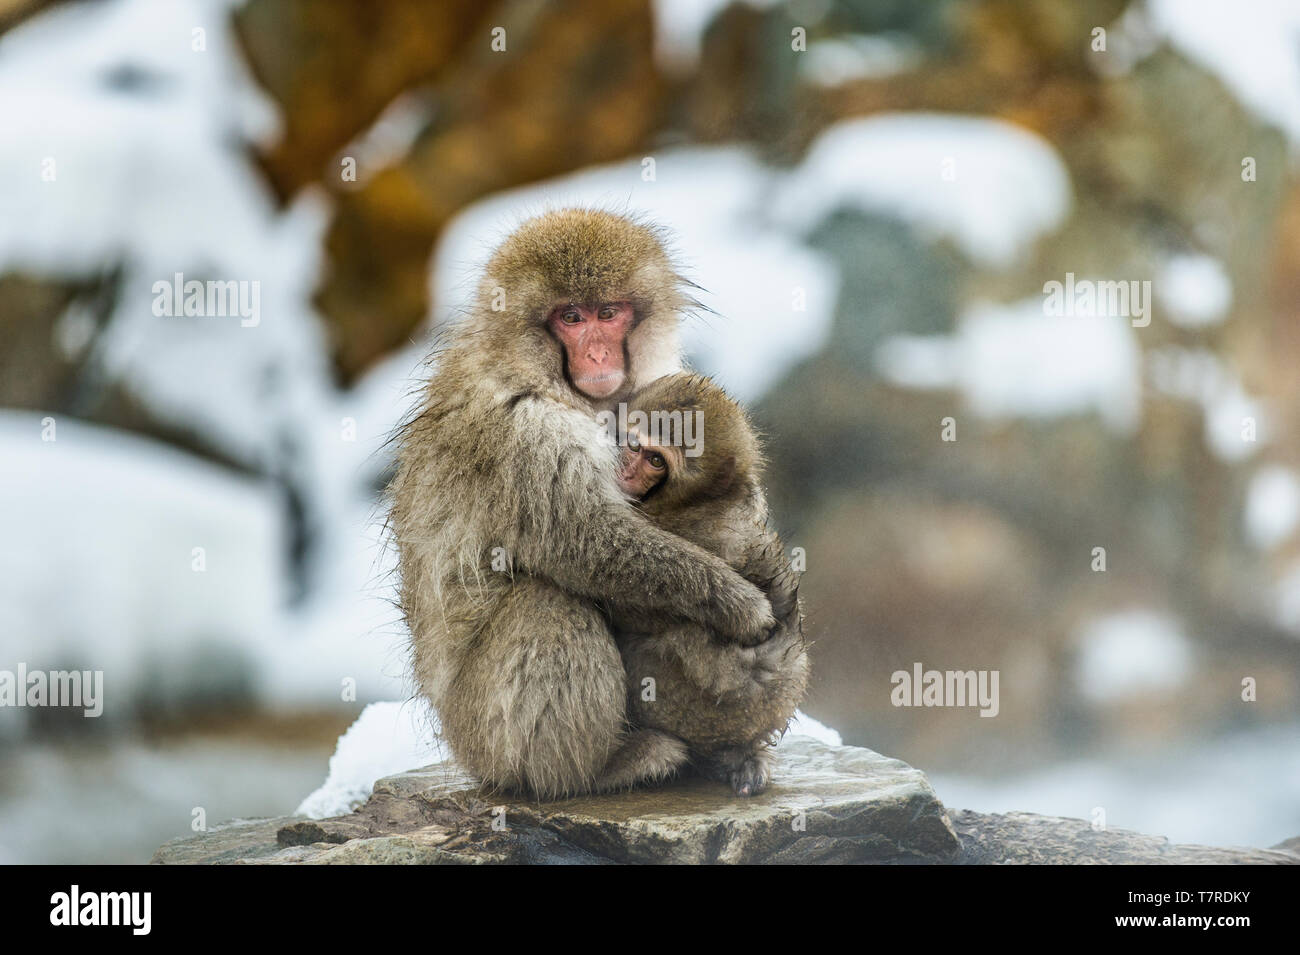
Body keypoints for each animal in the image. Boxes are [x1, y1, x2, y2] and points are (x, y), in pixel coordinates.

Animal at [388, 209, 777, 801]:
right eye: (570, 318)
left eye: (607, 313)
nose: (596, 353)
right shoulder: (521, 427)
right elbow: (585, 540)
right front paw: (739, 603)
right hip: (482, 737)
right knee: (549, 602)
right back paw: (600, 769)